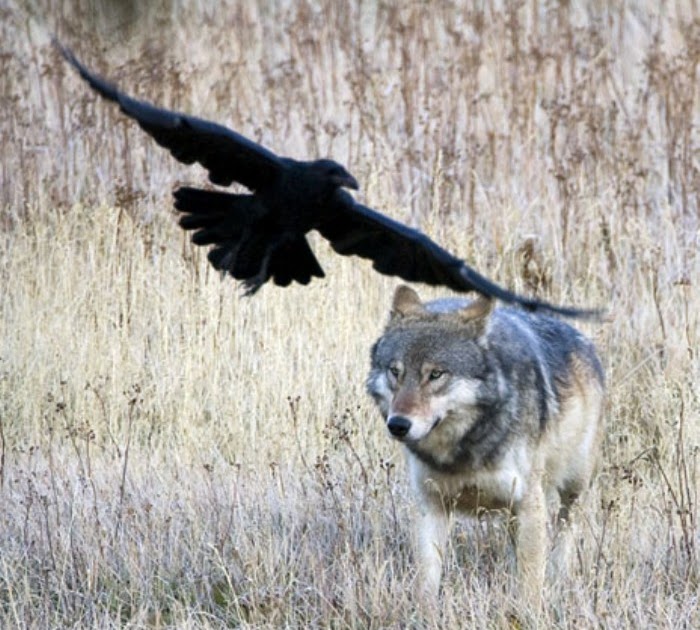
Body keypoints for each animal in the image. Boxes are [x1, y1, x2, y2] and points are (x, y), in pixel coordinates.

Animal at [367, 285, 604, 605]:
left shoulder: (529, 503)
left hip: (573, 487)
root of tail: (580, 337)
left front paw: (530, 612)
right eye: (395, 371)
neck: (464, 450)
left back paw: (559, 578)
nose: (398, 425)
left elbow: (530, 585)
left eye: (436, 374)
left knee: (566, 528)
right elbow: (426, 583)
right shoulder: (431, 505)